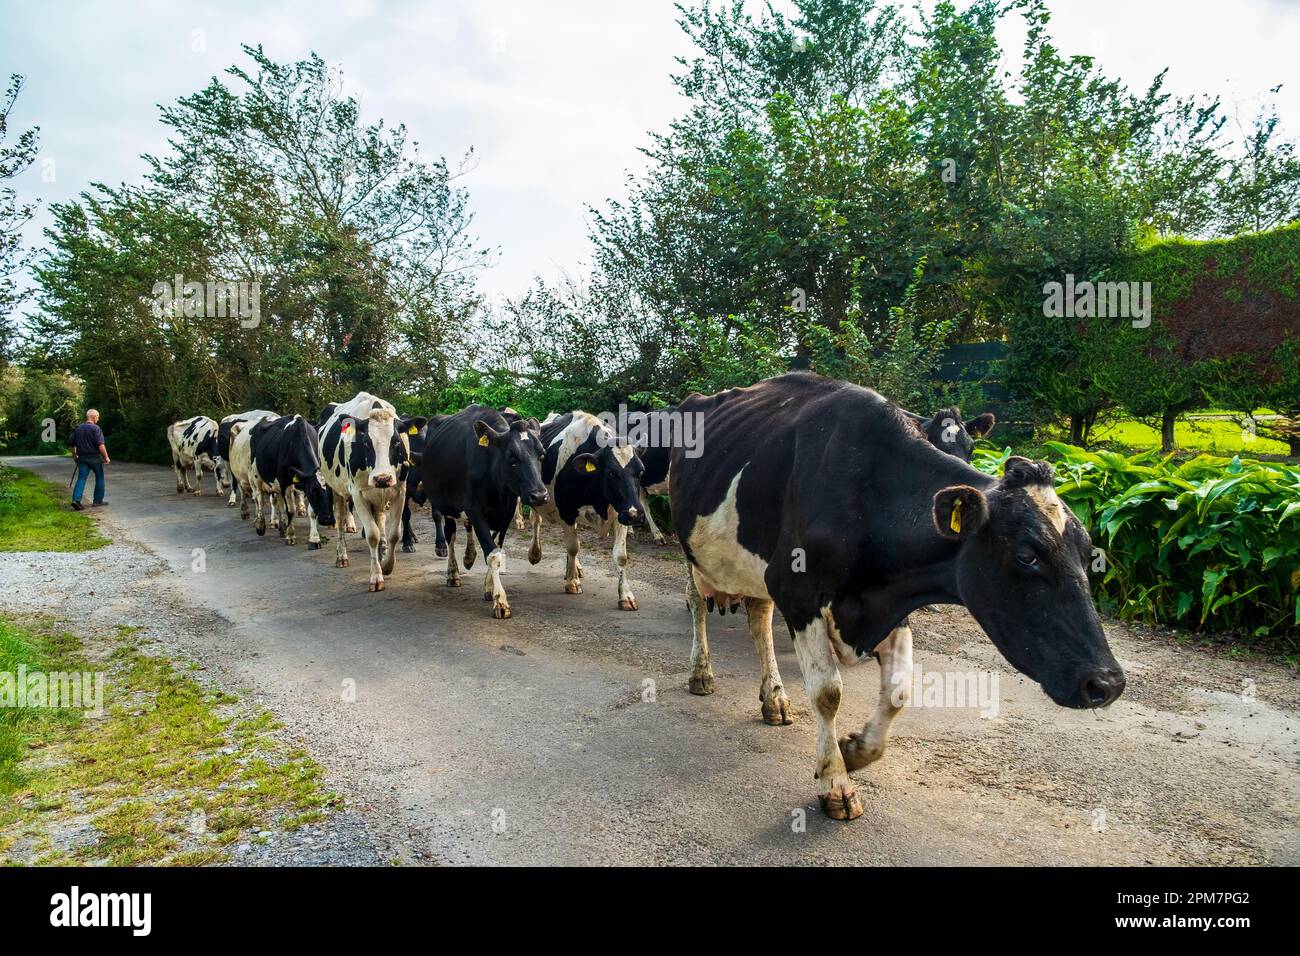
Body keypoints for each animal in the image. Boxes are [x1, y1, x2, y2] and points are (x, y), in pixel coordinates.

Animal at [247, 414, 335, 546]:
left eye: (332, 493)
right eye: (313, 492)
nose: (328, 519)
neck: (294, 443)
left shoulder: (301, 481)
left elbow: (310, 510)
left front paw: (314, 538)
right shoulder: (285, 482)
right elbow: (290, 510)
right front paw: (290, 535)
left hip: (276, 483)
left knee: (278, 500)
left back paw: (282, 527)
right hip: (256, 473)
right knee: (260, 498)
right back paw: (261, 526)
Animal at [316, 393, 426, 591]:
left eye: (396, 442)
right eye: (366, 442)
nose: (382, 478)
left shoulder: (400, 492)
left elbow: (394, 533)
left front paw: (387, 564)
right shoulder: (358, 495)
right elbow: (372, 535)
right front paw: (376, 576)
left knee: (380, 518)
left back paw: (382, 551)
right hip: (336, 490)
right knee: (340, 519)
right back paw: (342, 556)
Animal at [417, 404, 547, 619]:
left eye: (542, 455)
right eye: (512, 457)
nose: (539, 495)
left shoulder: (506, 512)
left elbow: (496, 547)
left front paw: (489, 588)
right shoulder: (474, 508)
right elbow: (491, 552)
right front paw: (500, 602)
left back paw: (469, 558)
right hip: (446, 504)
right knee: (450, 534)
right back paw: (453, 573)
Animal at [525, 411, 647, 609]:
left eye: (641, 471)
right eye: (611, 473)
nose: (636, 515)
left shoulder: (620, 514)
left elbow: (621, 556)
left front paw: (626, 596)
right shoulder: (566, 511)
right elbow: (573, 546)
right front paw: (572, 582)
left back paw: (575, 568)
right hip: (536, 496)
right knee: (536, 521)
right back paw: (536, 554)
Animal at [669, 373, 1124, 820]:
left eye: (1088, 551)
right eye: (1027, 555)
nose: (1107, 683)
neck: (868, 492)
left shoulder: (893, 597)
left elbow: (899, 690)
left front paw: (854, 751)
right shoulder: (797, 591)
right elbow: (827, 692)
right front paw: (836, 784)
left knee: (759, 617)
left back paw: (775, 698)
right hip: (692, 546)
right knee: (698, 605)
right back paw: (702, 673)